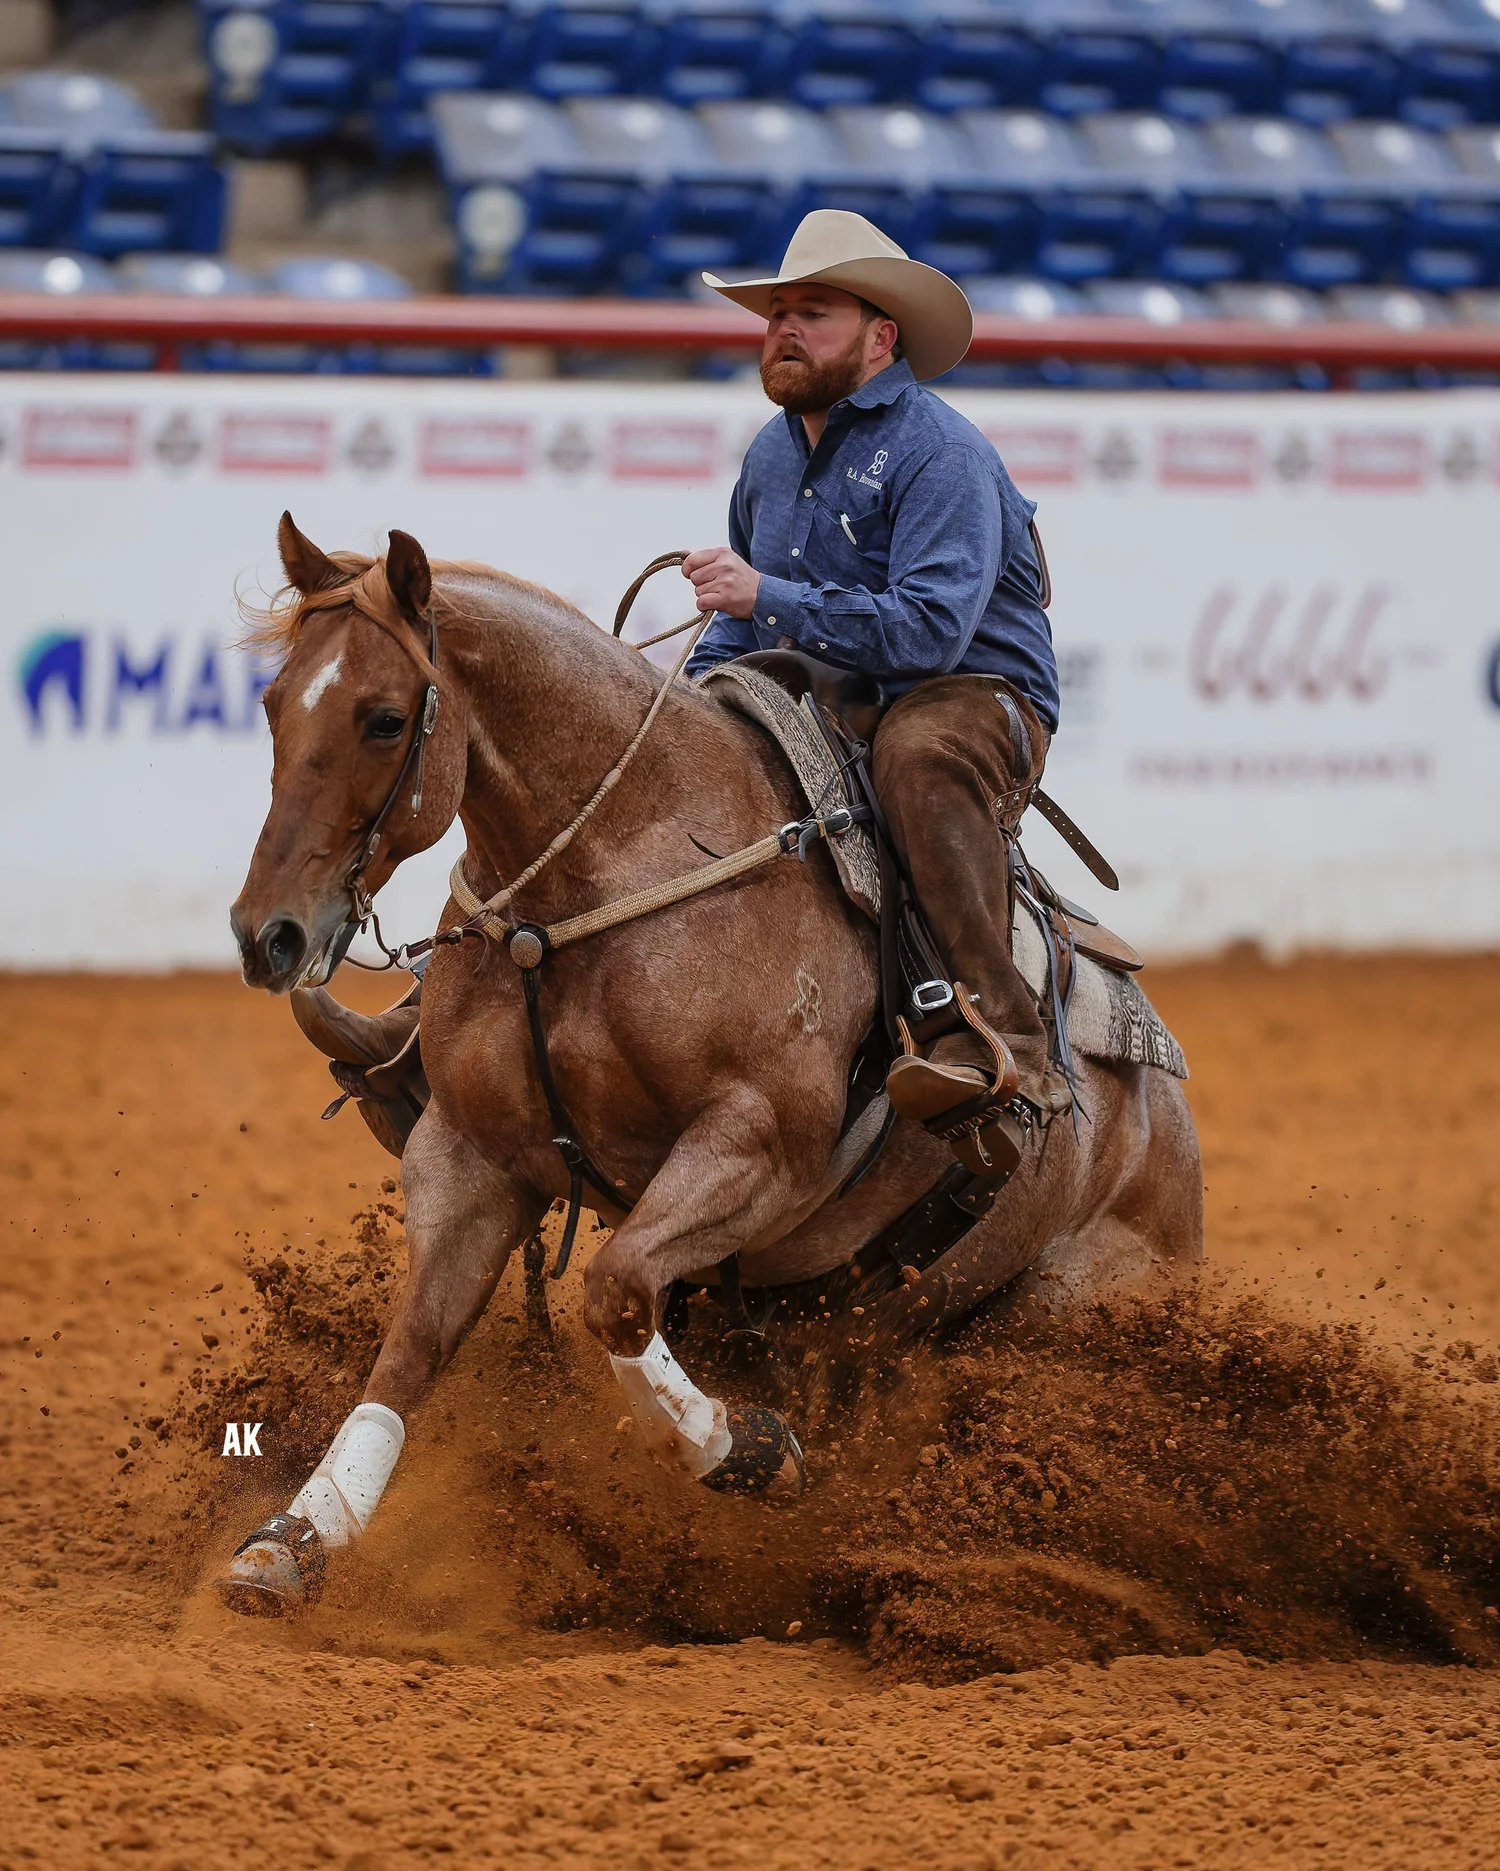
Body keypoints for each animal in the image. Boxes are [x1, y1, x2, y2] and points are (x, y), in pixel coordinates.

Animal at [219, 514, 1202, 1614]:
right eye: (273, 701)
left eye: (386, 718)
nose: (268, 933)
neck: (607, 873)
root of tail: (1163, 1116)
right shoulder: (471, 1155)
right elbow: (411, 1350)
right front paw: (296, 1537)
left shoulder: (760, 1147)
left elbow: (615, 1289)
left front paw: (749, 1450)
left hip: (1070, 1307)